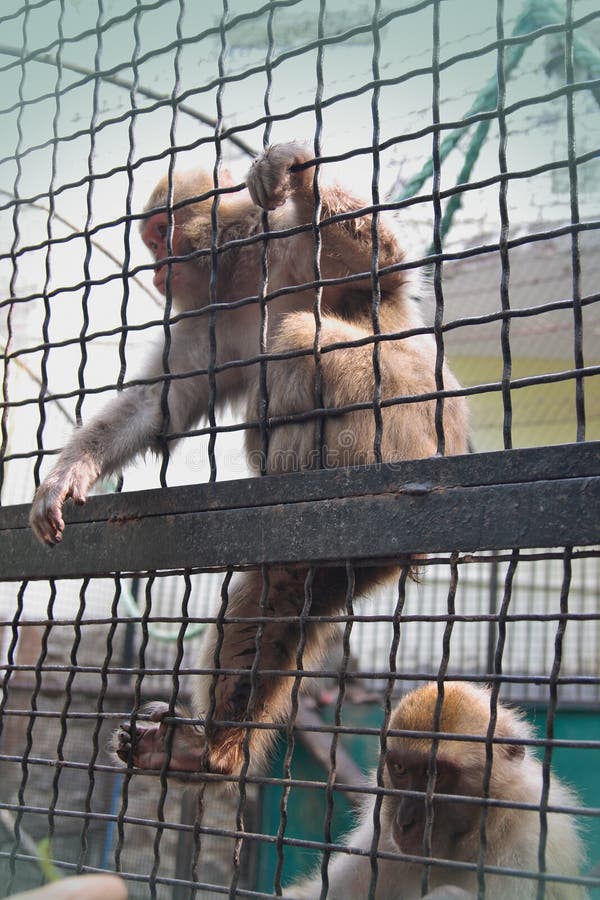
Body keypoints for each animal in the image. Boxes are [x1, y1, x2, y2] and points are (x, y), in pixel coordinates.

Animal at [29, 142, 469, 777]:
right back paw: (208, 751)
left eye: (160, 233)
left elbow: (380, 265)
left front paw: (295, 171)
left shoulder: (284, 245)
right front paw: (67, 476)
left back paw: (303, 464)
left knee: (300, 333)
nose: (152, 268)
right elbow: (157, 406)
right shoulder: (208, 322)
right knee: (279, 591)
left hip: (410, 419)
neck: (239, 275)